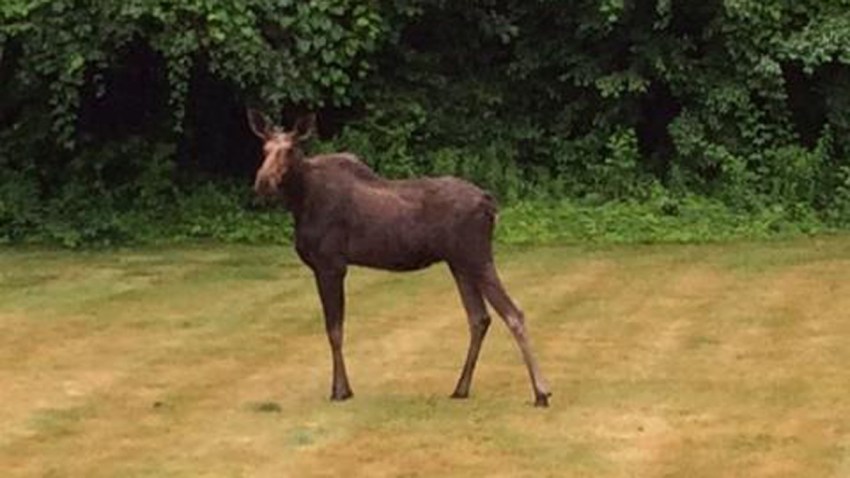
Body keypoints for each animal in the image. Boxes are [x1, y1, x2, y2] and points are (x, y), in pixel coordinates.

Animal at [247, 110, 551, 407]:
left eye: (289, 150)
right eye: (264, 148)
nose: (263, 182)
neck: (299, 202)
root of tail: (490, 203)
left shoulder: (330, 264)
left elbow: (334, 330)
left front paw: (340, 390)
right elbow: (335, 329)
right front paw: (342, 388)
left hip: (476, 256)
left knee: (513, 313)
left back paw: (541, 392)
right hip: (460, 263)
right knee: (479, 317)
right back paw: (461, 388)